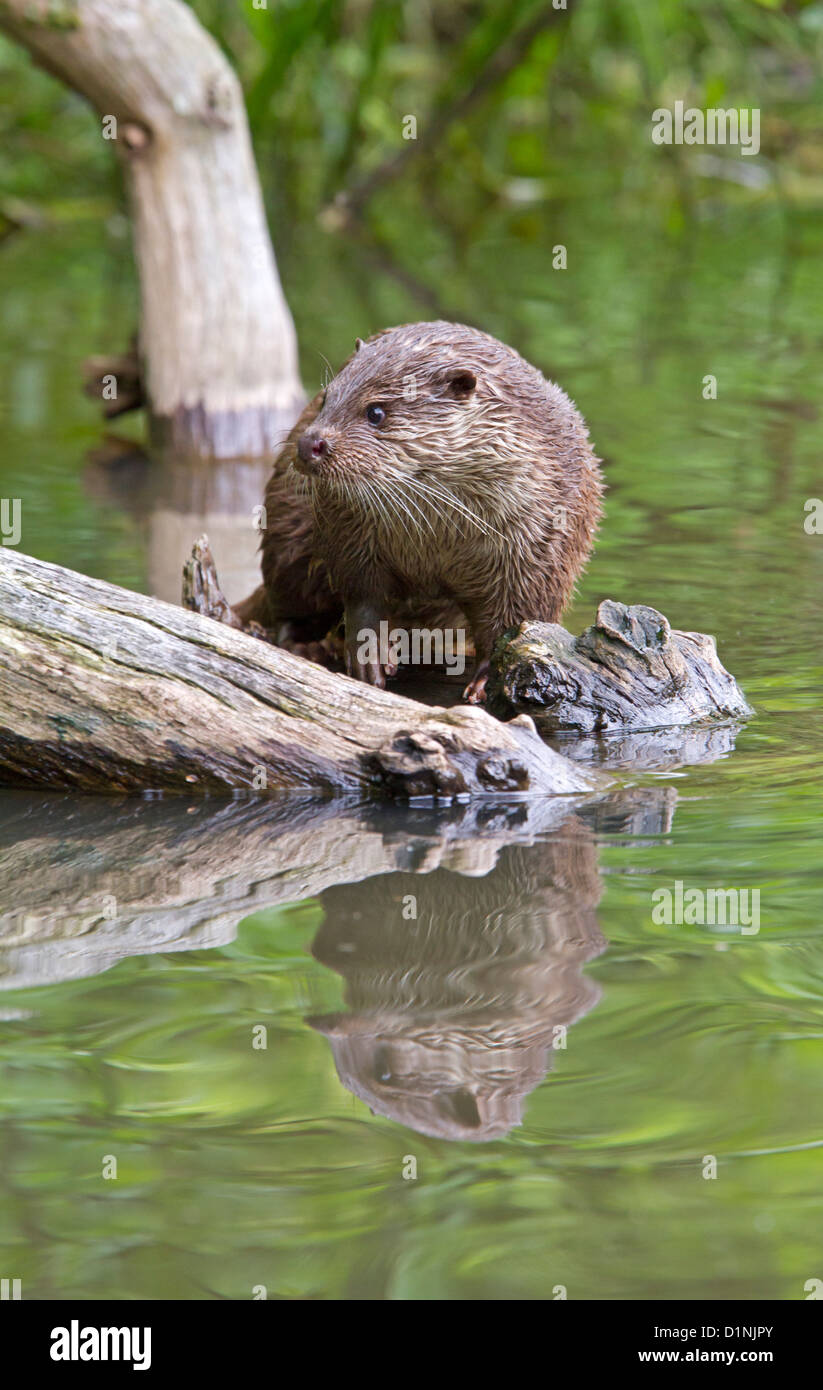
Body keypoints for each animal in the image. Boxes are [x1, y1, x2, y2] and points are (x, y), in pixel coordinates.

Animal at [235, 321, 603, 701]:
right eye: (325, 398)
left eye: (376, 412)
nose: (310, 443)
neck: (439, 541)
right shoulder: (348, 535)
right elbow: (362, 596)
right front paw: (369, 655)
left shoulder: (540, 550)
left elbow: (511, 624)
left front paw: (486, 679)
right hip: (288, 530)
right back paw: (310, 645)